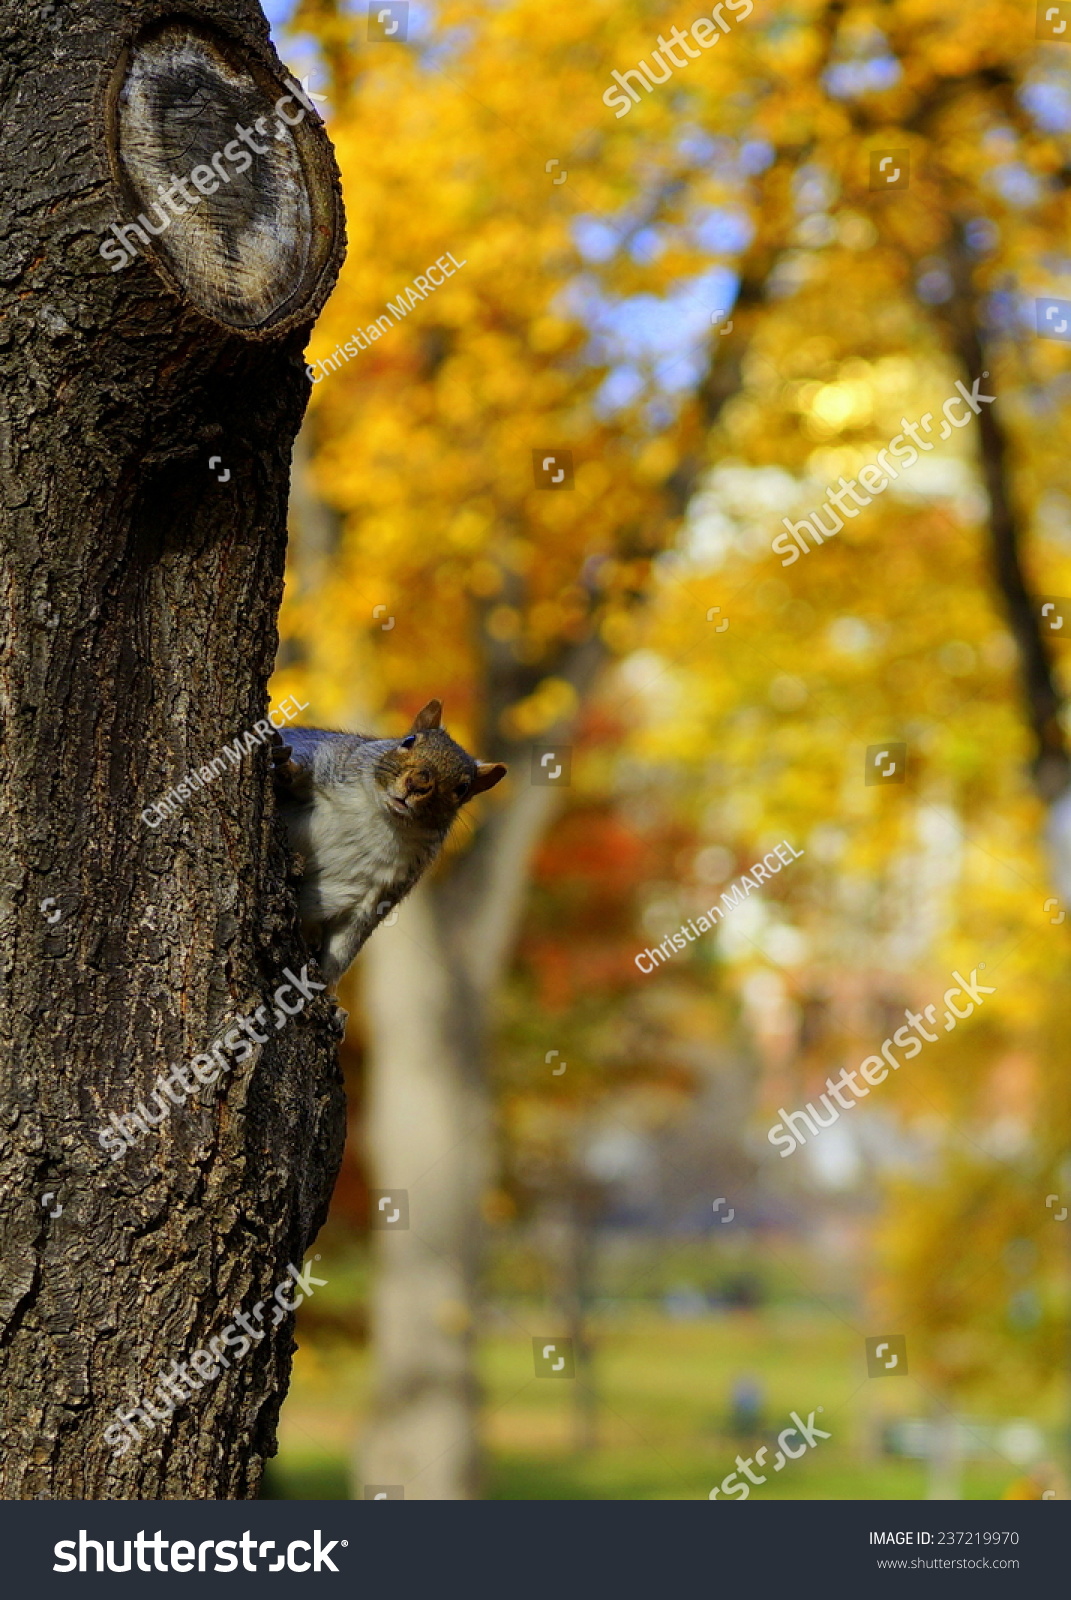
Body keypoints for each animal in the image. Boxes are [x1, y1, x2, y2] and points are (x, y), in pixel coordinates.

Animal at [271, 699, 506, 984]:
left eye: (461, 789)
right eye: (408, 741)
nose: (417, 782)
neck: (379, 816)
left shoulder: (382, 891)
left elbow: (345, 944)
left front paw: (325, 986)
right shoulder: (325, 754)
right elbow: (300, 765)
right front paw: (286, 768)